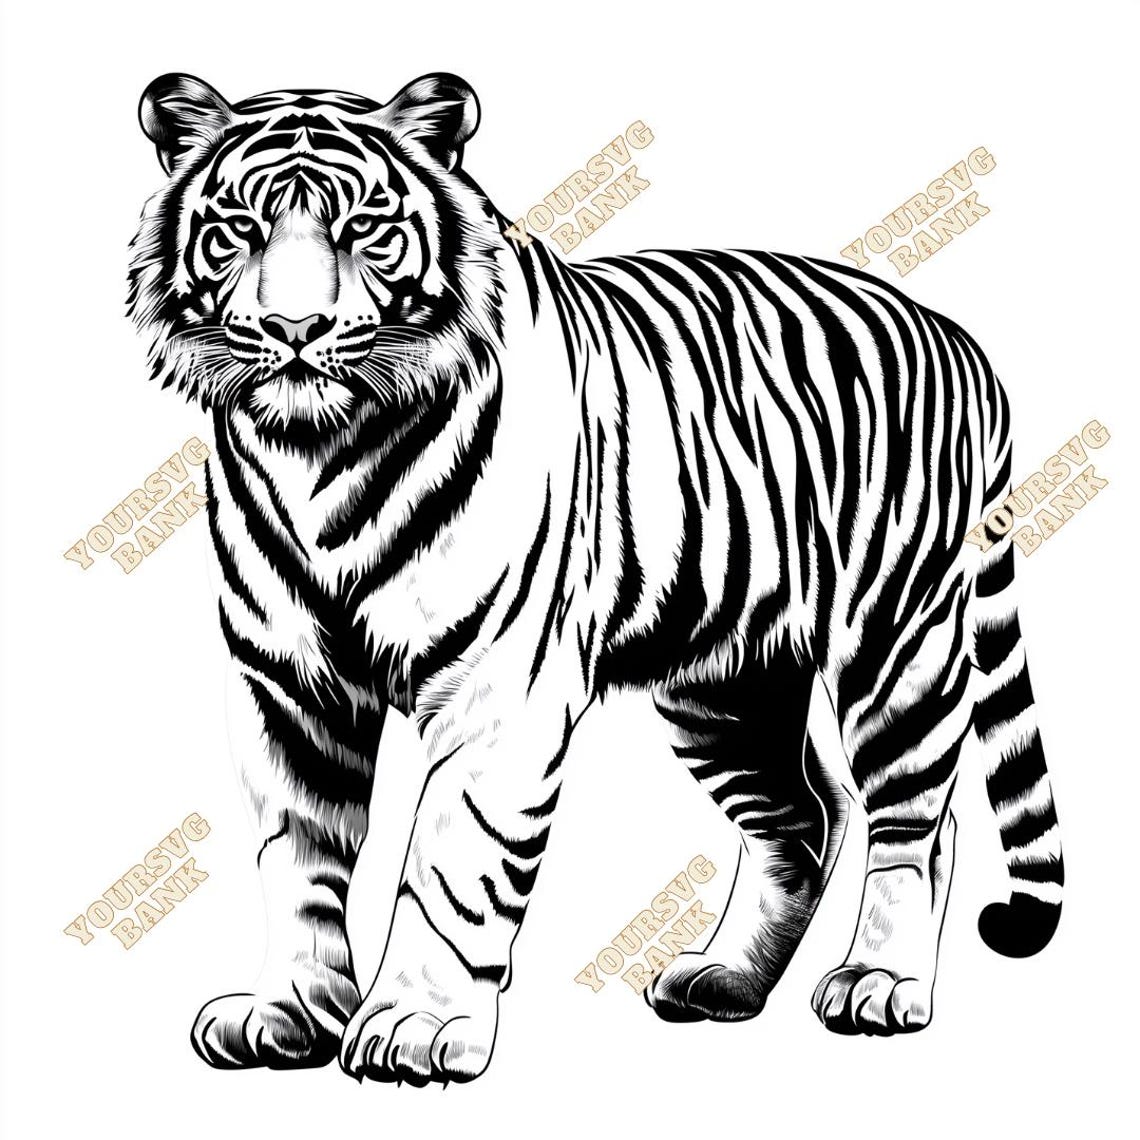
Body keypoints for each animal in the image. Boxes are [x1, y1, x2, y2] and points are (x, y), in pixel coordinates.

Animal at [127, 71, 1064, 1084]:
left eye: (365, 227)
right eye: (239, 229)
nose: (293, 329)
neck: (315, 453)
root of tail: (956, 338)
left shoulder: (498, 689)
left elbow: (450, 865)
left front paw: (417, 1025)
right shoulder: (285, 685)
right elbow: (297, 855)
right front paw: (289, 1011)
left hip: (898, 643)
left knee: (918, 823)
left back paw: (879, 984)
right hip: (726, 685)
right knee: (807, 816)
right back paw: (725, 980)